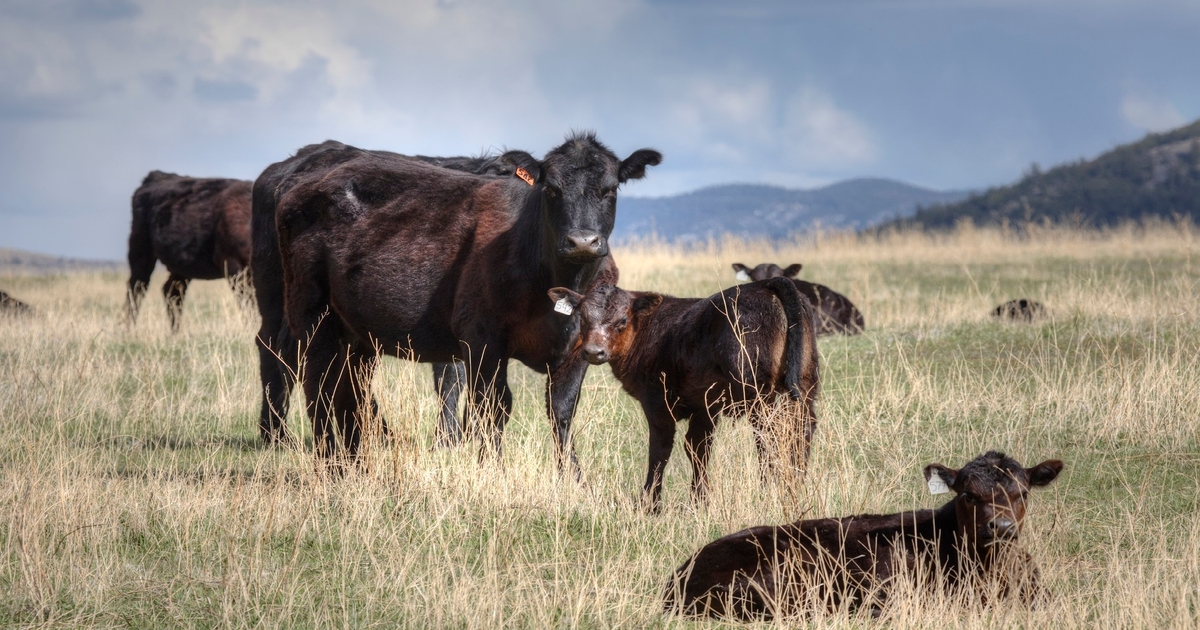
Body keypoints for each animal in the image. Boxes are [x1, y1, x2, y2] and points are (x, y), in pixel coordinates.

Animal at [126, 171, 254, 331]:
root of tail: (157, 176)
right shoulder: (235, 267)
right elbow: (249, 305)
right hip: (141, 251)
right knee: (137, 289)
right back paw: (129, 330)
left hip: (181, 266)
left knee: (172, 292)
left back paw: (175, 333)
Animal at [253, 133, 661, 469]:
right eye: (552, 190)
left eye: (610, 190)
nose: (582, 241)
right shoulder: (481, 338)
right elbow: (488, 404)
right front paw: (487, 468)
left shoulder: (578, 348)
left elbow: (561, 410)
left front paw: (572, 478)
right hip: (307, 312)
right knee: (313, 380)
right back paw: (322, 457)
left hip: (354, 331)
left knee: (348, 388)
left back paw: (357, 459)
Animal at [546, 277, 819, 510]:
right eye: (582, 319)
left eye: (622, 321)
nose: (594, 352)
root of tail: (766, 284)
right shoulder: (705, 405)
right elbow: (698, 447)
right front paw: (699, 500)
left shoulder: (657, 401)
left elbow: (660, 450)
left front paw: (649, 504)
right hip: (804, 384)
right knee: (801, 429)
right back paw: (795, 485)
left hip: (757, 391)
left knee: (770, 434)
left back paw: (770, 490)